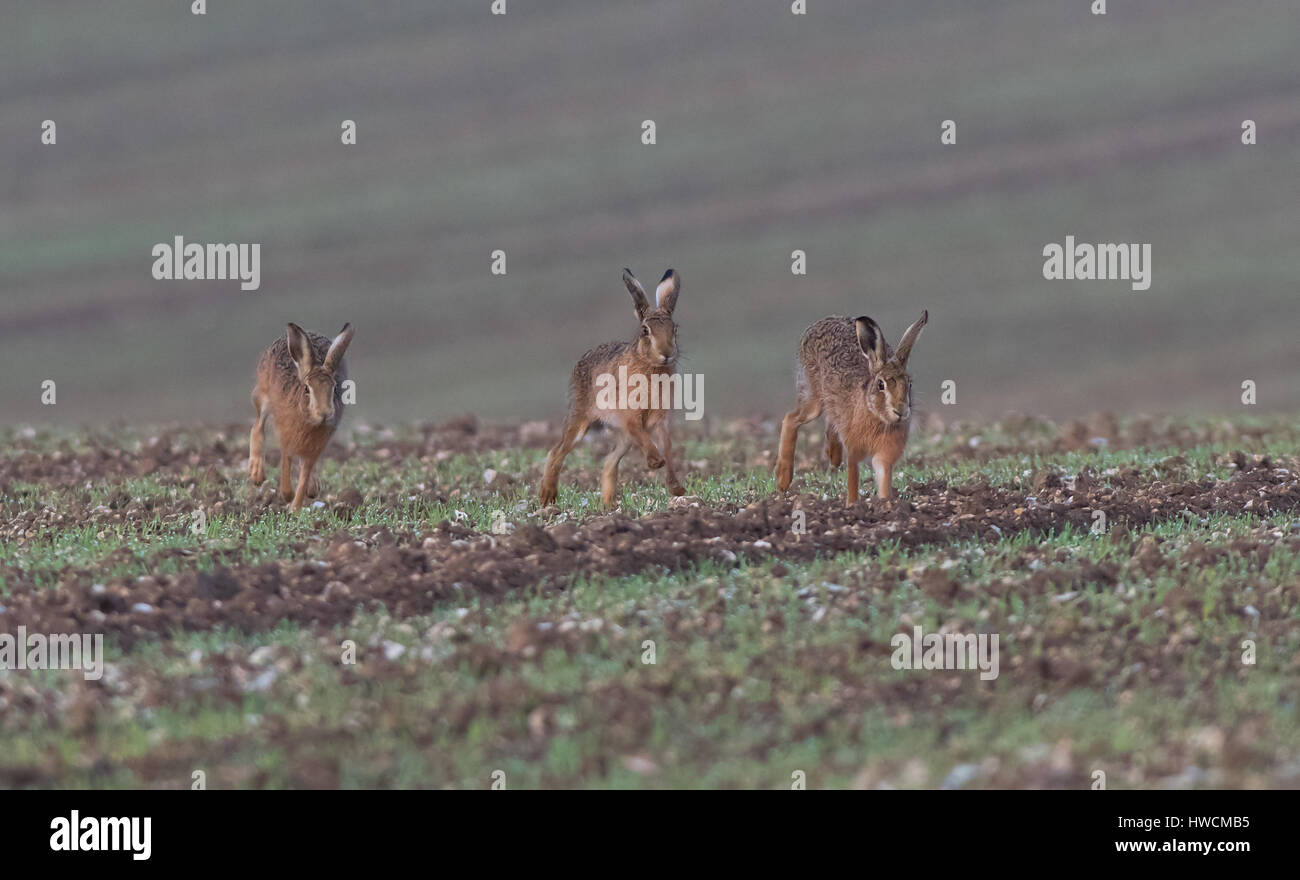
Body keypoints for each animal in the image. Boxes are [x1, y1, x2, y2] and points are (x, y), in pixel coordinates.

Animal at [248, 322, 354, 510]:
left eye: (335, 388)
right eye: (307, 389)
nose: (324, 413)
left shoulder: (314, 449)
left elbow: (304, 474)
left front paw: (295, 507)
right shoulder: (287, 437)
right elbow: (286, 462)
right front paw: (287, 495)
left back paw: (313, 486)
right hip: (263, 397)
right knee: (257, 426)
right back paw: (256, 473)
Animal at [538, 268, 686, 509]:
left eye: (674, 329)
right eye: (645, 330)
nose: (666, 353)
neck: (648, 365)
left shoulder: (660, 421)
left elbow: (668, 448)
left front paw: (677, 488)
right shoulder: (631, 415)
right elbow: (647, 439)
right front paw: (656, 461)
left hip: (623, 438)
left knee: (609, 461)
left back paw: (608, 505)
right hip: (580, 419)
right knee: (557, 451)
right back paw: (547, 496)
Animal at [775, 311, 927, 506]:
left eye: (909, 384)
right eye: (881, 385)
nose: (900, 411)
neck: (876, 416)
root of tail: (820, 323)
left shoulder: (885, 455)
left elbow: (883, 477)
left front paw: (886, 503)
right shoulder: (854, 449)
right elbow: (853, 478)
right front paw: (852, 505)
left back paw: (833, 455)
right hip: (813, 398)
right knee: (791, 418)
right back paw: (783, 480)